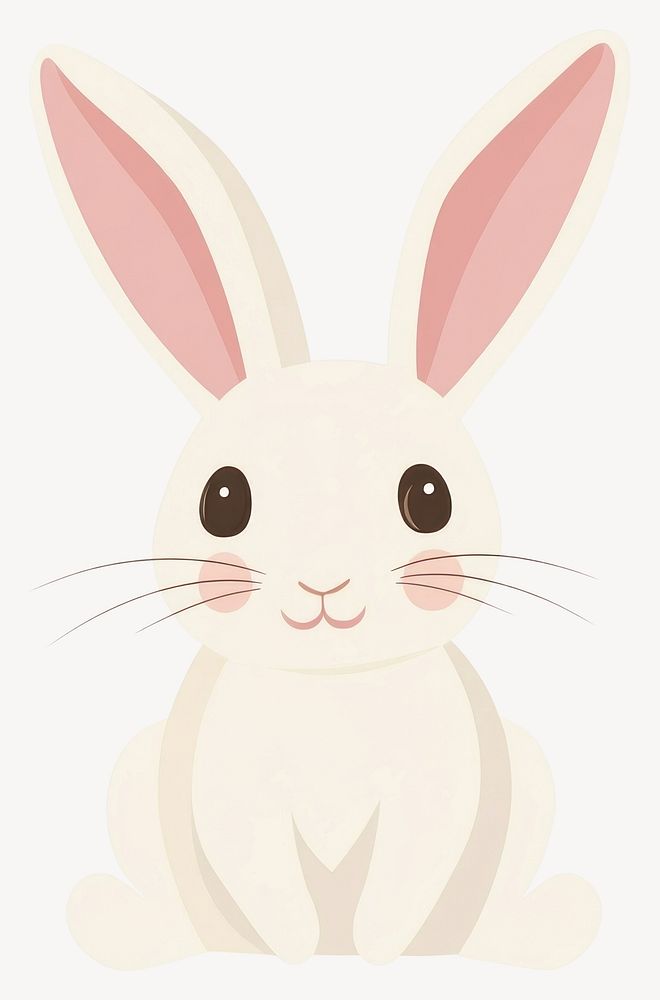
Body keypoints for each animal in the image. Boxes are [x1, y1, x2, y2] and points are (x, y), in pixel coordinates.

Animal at [32, 31, 627, 970]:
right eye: (223, 500)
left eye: (428, 496)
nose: (324, 582)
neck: (332, 692)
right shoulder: (235, 803)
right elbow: (268, 885)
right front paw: (299, 955)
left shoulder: (436, 798)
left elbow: (403, 882)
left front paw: (376, 956)